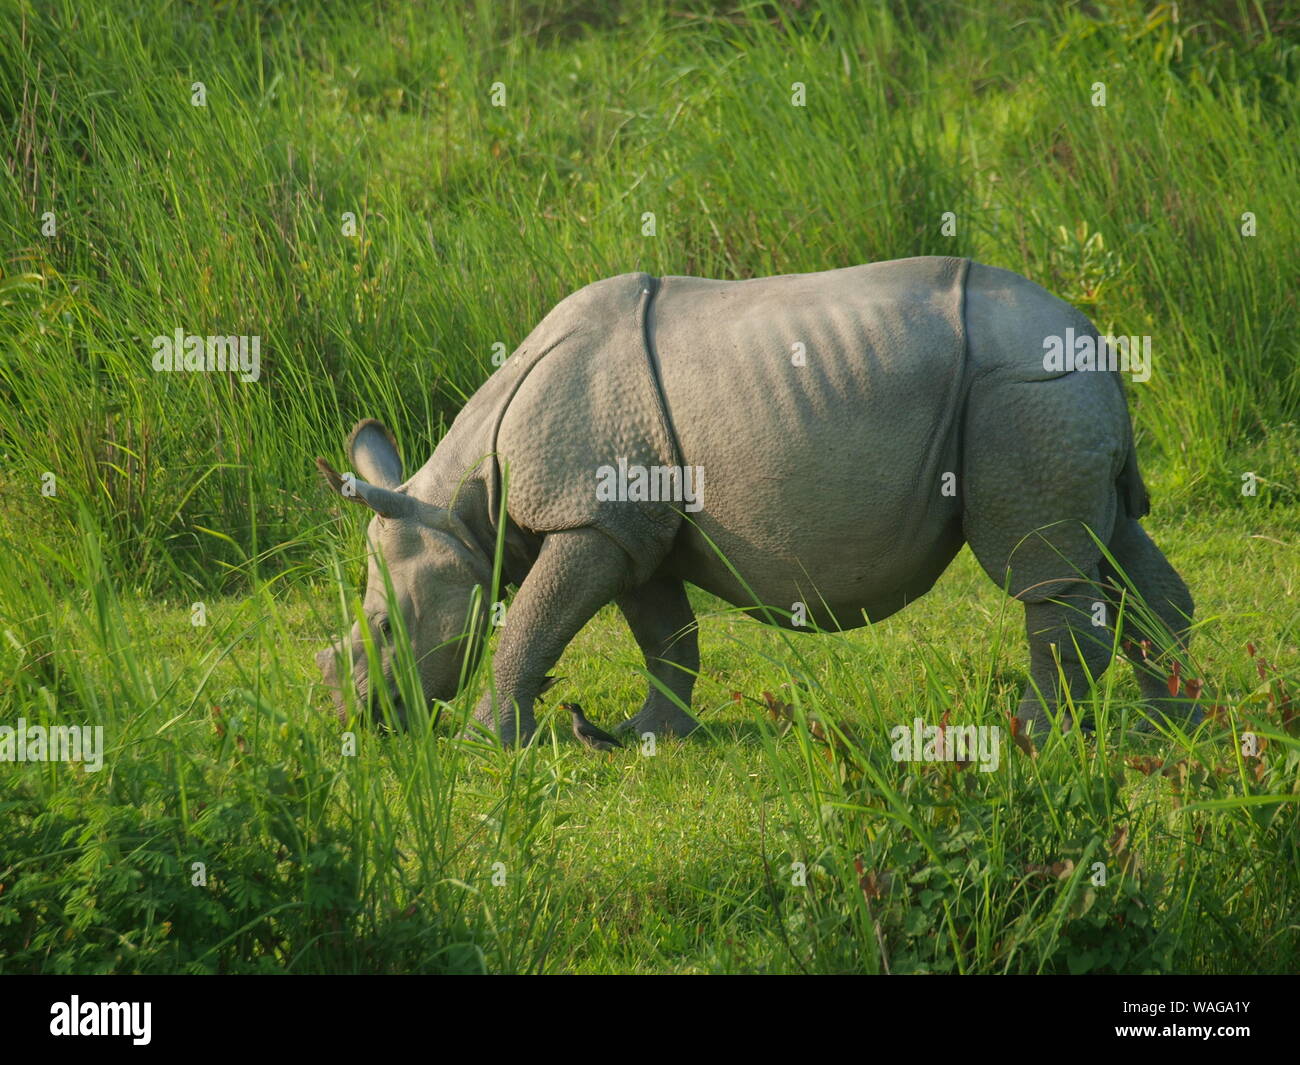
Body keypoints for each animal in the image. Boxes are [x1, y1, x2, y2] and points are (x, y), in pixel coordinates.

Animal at [315, 256, 1197, 744]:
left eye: (387, 627)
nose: (359, 719)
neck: (467, 512)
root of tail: (1100, 342)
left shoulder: (593, 520)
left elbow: (530, 625)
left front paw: (485, 743)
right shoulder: (634, 529)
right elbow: (667, 637)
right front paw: (636, 736)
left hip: (1025, 393)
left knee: (1045, 572)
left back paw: (1031, 734)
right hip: (1057, 398)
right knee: (1119, 548)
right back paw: (1171, 726)